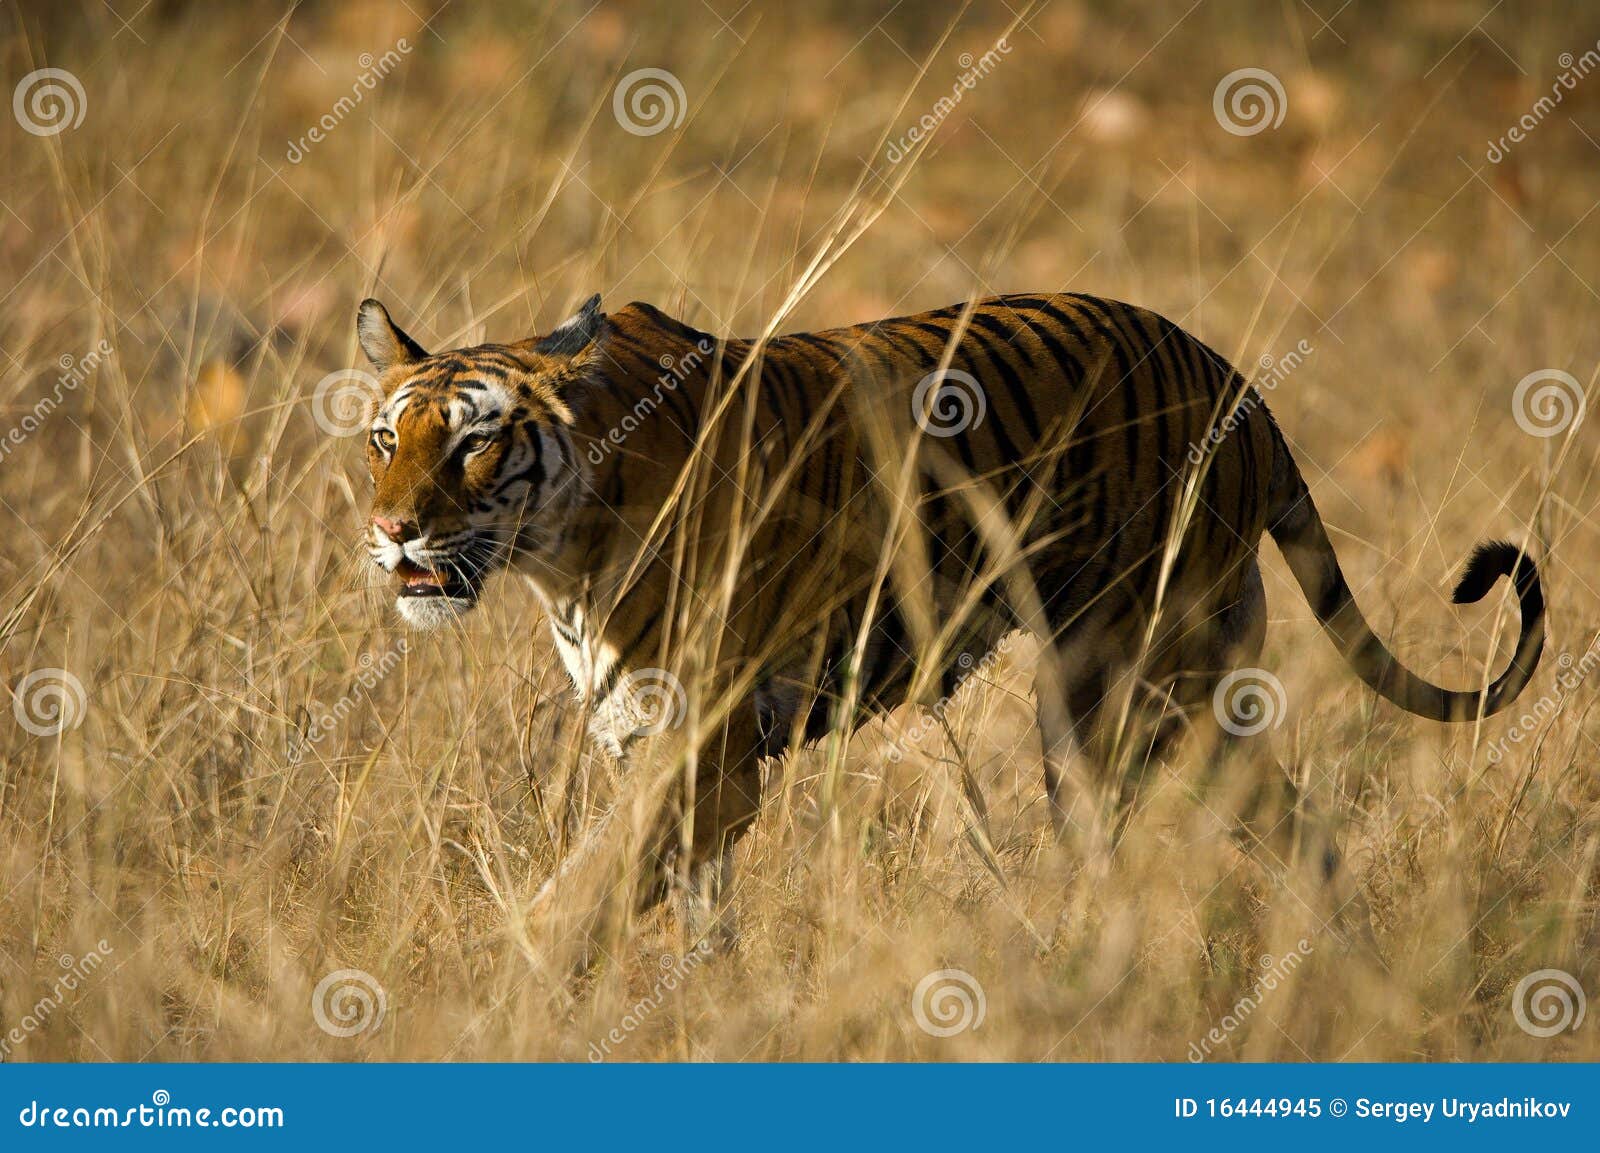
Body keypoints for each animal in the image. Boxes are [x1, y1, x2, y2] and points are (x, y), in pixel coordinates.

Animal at [355, 290, 1544, 907]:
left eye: (472, 443)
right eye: (383, 439)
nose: (392, 531)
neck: (557, 550)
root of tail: (1241, 387)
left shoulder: (707, 746)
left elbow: (589, 894)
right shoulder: (646, 739)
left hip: (1117, 686)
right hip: (1194, 697)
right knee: (1295, 830)